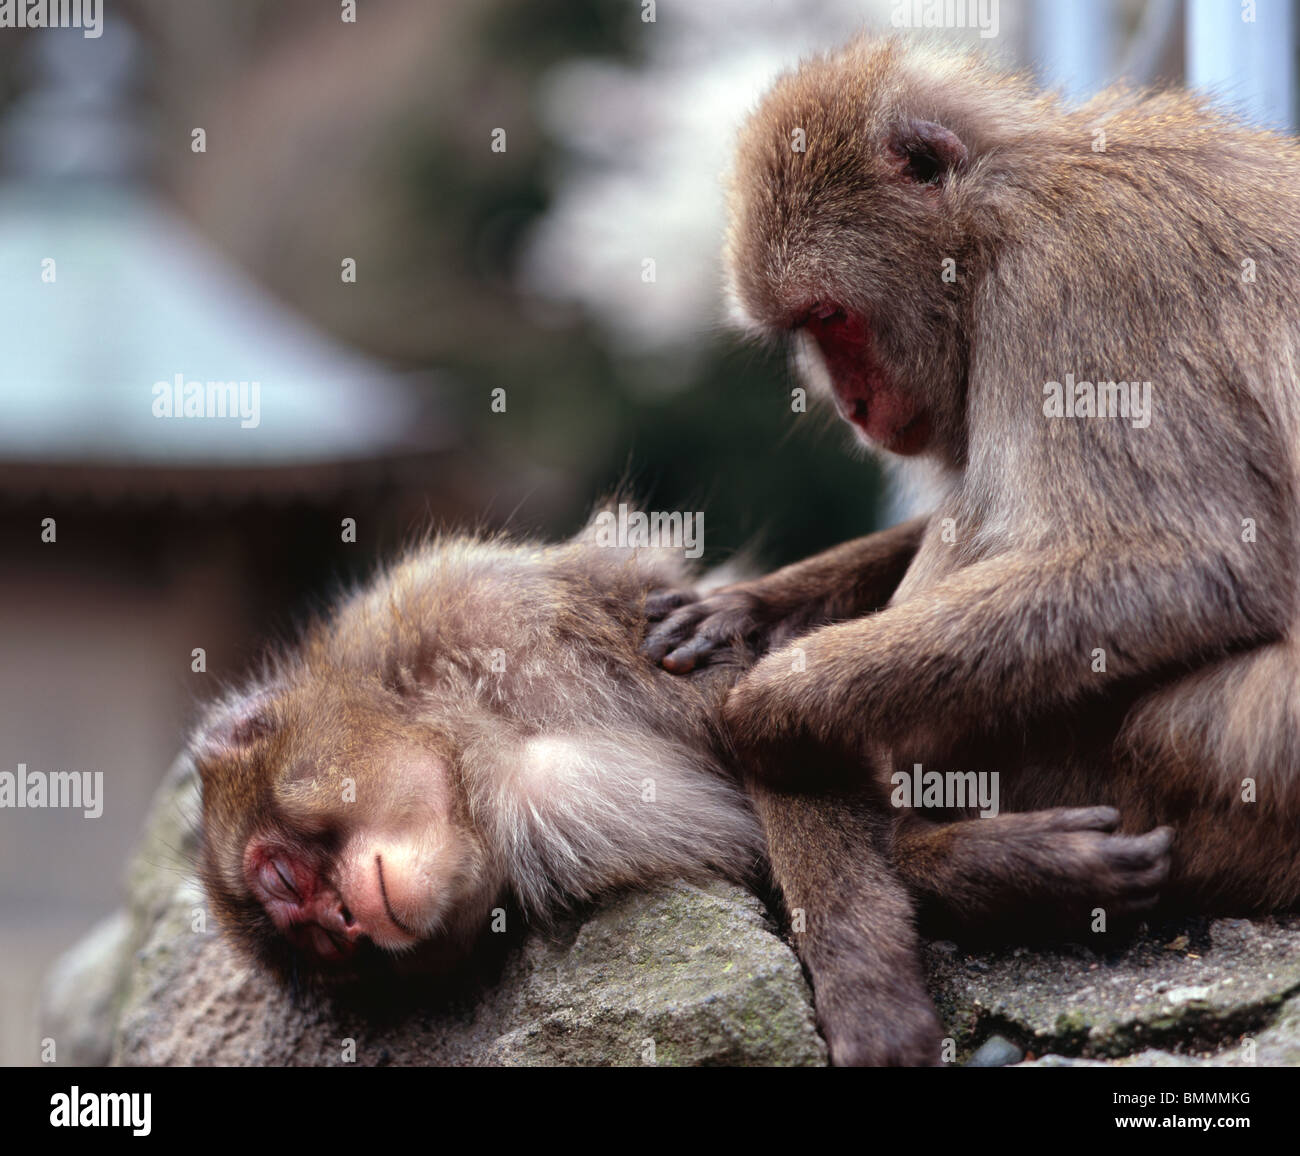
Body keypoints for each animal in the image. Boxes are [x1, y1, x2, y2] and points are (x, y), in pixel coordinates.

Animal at [644, 32, 1300, 1034]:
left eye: (831, 316)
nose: (853, 406)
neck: (994, 215)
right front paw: (747, 609)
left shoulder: (1068, 279)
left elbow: (1199, 561)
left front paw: (764, 706)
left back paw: (946, 860)